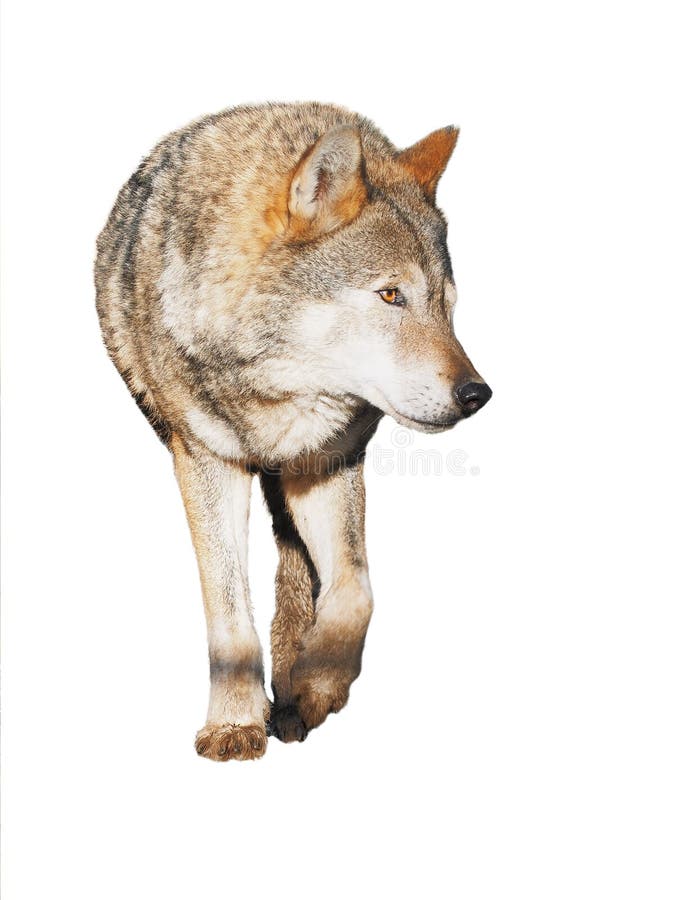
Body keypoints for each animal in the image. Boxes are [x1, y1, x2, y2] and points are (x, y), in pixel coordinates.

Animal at [95, 102, 492, 761]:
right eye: (391, 295)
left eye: (448, 307)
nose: (477, 394)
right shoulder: (205, 461)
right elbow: (229, 614)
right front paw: (233, 723)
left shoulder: (327, 460)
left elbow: (355, 589)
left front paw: (314, 684)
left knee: (300, 571)